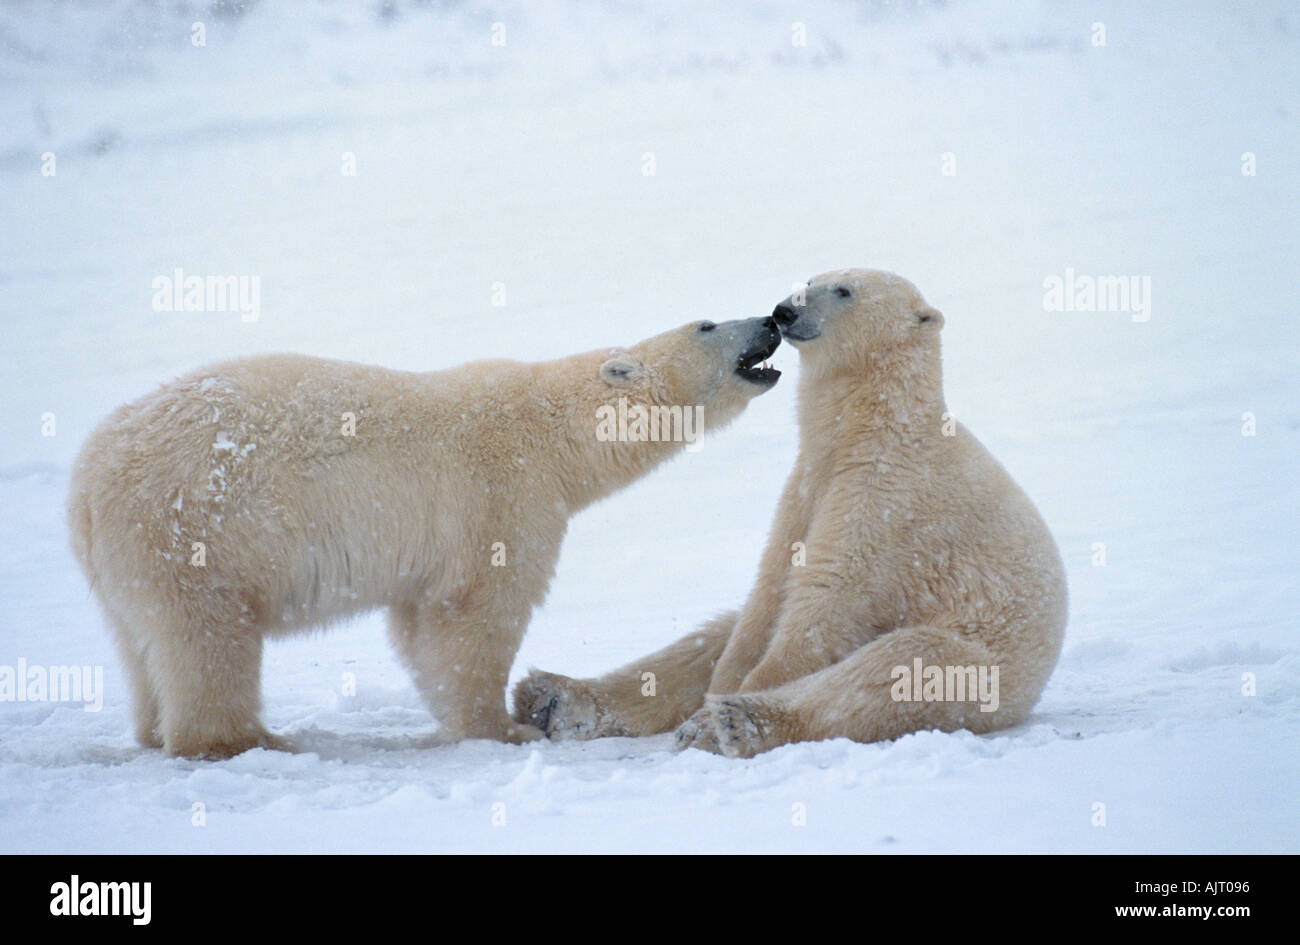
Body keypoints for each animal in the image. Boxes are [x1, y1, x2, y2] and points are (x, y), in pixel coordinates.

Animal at [67, 315, 783, 759]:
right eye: (708, 324)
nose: (770, 320)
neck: (550, 428)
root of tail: (85, 489)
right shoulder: (501, 498)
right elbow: (474, 618)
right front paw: (505, 729)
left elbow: (417, 626)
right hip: (196, 533)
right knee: (209, 640)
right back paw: (245, 740)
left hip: (132, 564)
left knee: (143, 646)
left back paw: (154, 729)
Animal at [513, 269, 1068, 757]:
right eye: (811, 278)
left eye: (844, 289)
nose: (782, 311)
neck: (872, 430)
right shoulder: (807, 484)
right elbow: (770, 586)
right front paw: (718, 690)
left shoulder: (887, 495)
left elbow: (827, 598)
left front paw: (721, 709)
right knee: (708, 636)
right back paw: (555, 698)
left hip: (986, 659)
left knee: (900, 669)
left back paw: (738, 722)